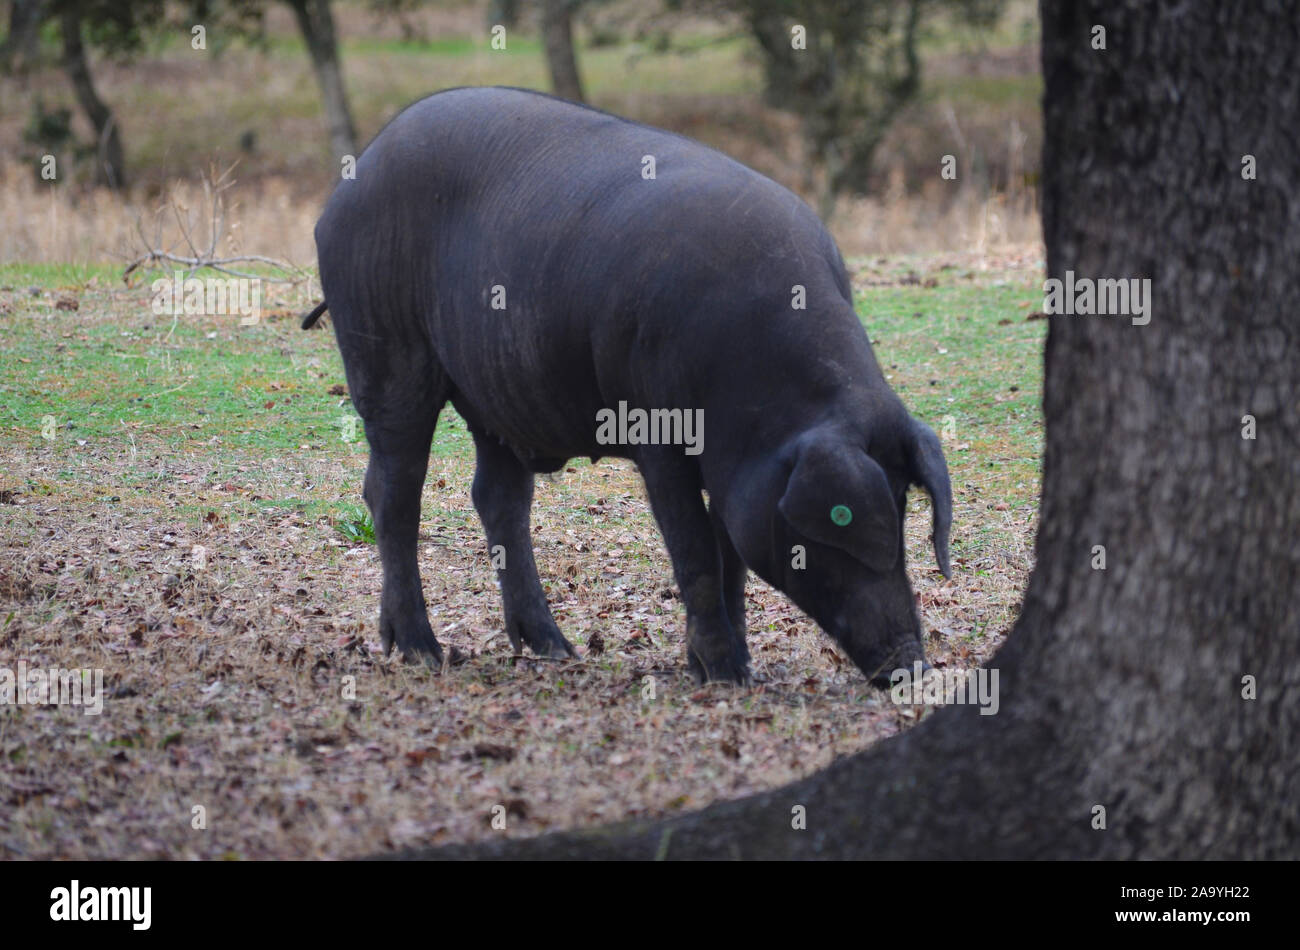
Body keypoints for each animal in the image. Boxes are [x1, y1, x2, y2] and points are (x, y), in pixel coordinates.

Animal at [303, 86, 952, 687]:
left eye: (903, 508)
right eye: (842, 526)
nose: (912, 665)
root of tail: (345, 187)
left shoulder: (731, 467)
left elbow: (732, 558)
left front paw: (735, 670)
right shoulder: (657, 434)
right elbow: (695, 552)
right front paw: (724, 675)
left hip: (494, 394)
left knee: (497, 497)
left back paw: (554, 650)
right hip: (384, 347)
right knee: (392, 491)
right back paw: (423, 653)